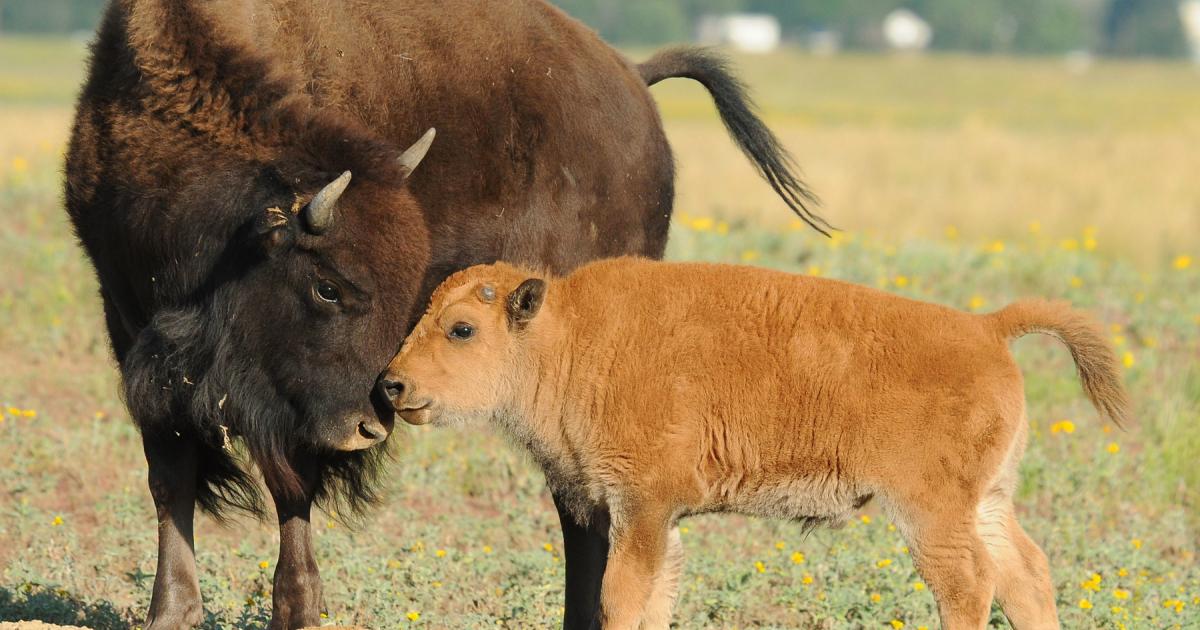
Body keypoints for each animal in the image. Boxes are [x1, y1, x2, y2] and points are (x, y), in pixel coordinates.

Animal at [63, 0, 828, 628]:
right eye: (328, 287)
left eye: (399, 290)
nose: (372, 424)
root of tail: (633, 81)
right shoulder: (131, 331)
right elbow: (171, 475)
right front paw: (172, 613)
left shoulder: (292, 407)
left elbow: (292, 487)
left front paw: (298, 611)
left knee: (585, 505)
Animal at [380, 257, 1130, 630]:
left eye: (462, 329)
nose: (391, 385)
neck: (573, 337)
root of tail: (985, 328)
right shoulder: (656, 519)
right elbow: (656, 599)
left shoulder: (642, 507)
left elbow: (620, 598)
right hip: (989, 501)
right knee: (1025, 578)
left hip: (931, 512)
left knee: (969, 584)